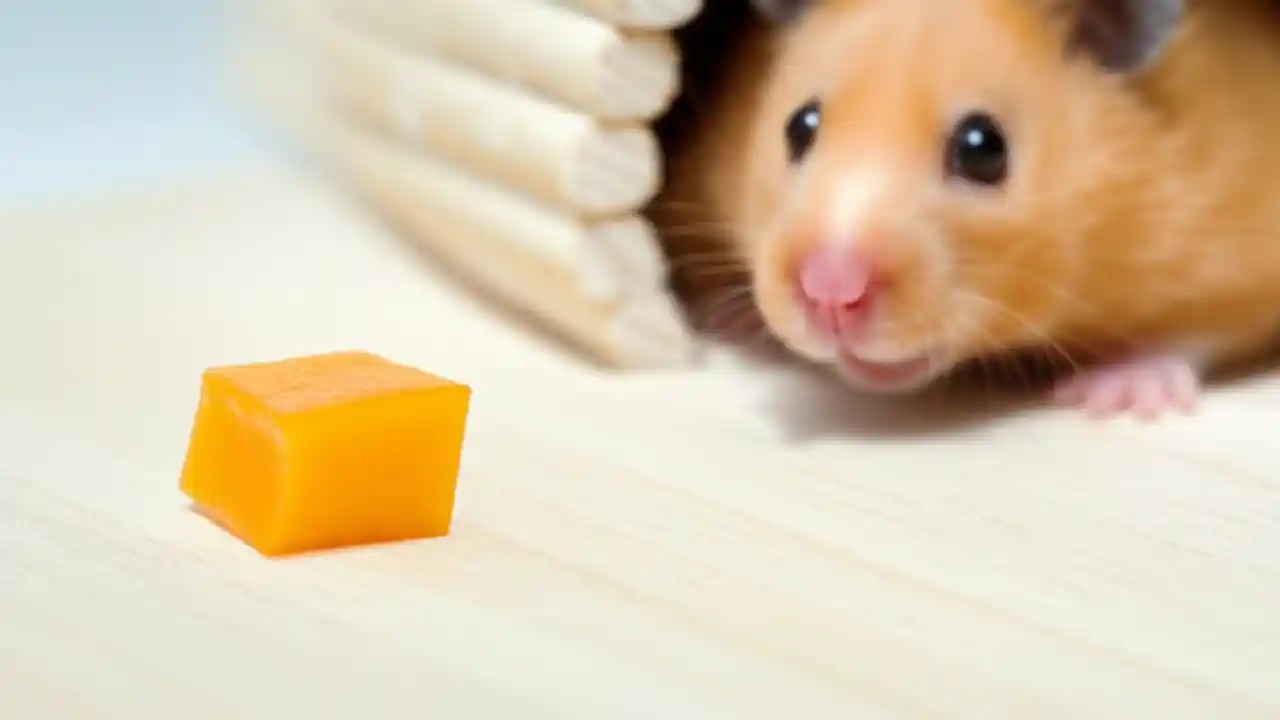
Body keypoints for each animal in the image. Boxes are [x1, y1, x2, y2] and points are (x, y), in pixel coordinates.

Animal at [654, 0, 1280, 418]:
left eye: (984, 148)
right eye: (798, 127)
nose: (829, 292)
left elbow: (1191, 331)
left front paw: (1107, 396)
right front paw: (726, 322)